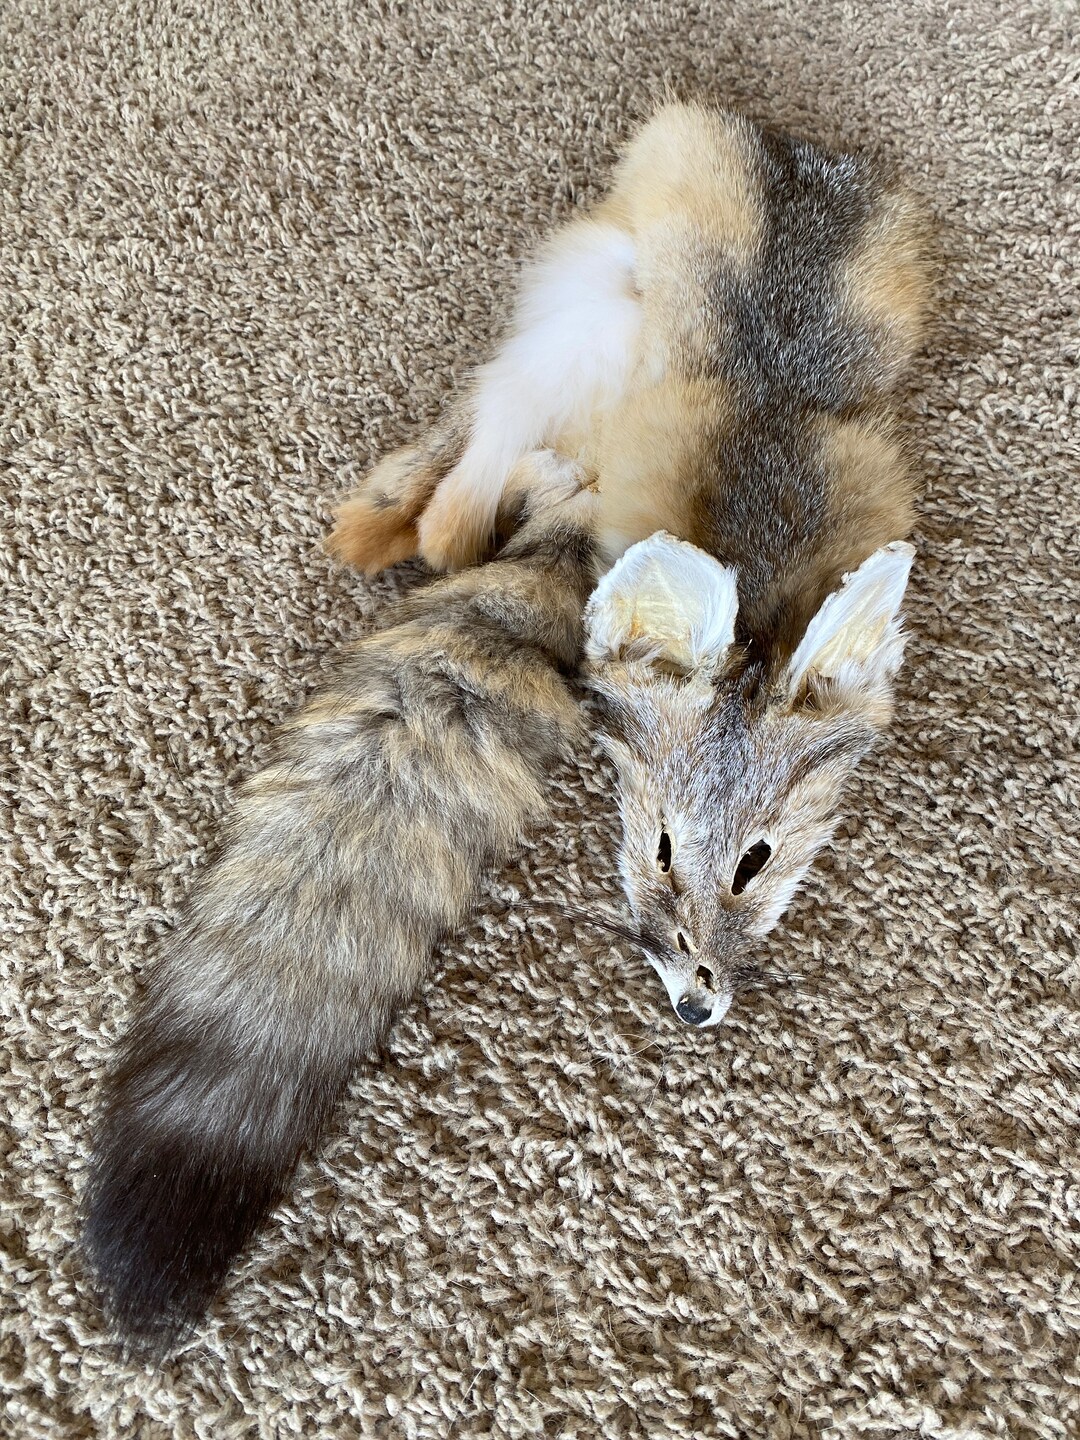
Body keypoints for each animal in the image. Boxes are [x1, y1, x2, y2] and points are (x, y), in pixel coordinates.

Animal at [327, 101, 934, 1028]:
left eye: (756, 860)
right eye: (661, 849)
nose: (695, 1007)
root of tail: (791, 144)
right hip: (585, 335)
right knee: (469, 467)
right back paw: (402, 526)